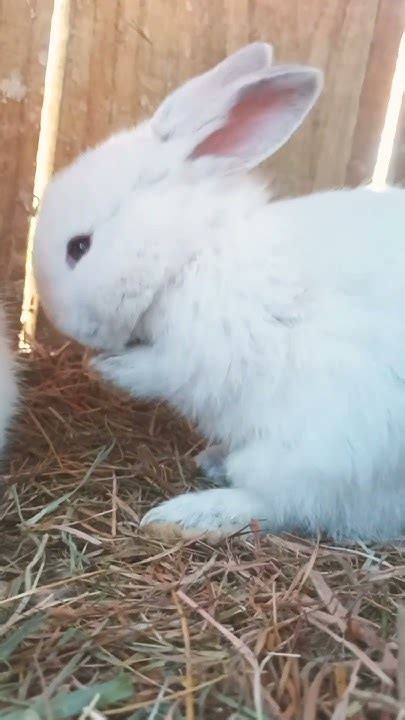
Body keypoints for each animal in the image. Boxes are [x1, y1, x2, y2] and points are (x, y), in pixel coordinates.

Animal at [33, 42, 405, 543]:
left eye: (79, 247)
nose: (70, 329)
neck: (191, 253)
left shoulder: (198, 352)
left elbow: (155, 372)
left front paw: (105, 368)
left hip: (323, 450)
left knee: (284, 503)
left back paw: (185, 515)